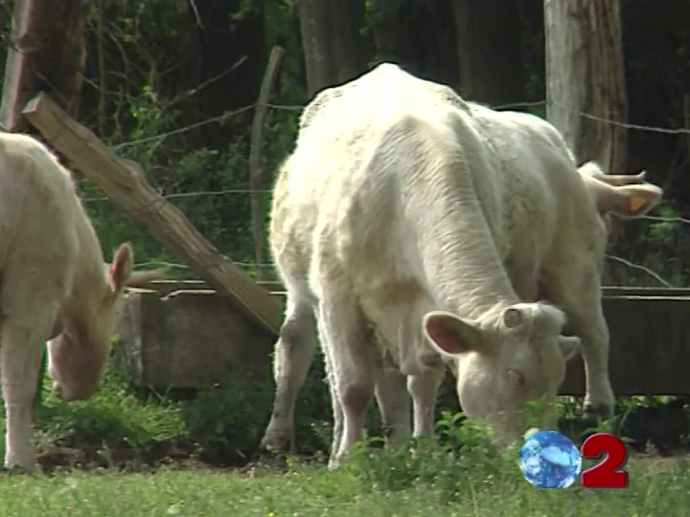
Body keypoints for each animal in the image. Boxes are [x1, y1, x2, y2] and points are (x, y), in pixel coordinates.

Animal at [260, 63, 663, 467]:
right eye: (515, 375)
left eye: (555, 381)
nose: (546, 451)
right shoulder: (337, 296)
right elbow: (353, 386)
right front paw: (346, 460)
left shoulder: (424, 303)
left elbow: (423, 377)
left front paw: (422, 449)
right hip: (304, 290)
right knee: (297, 346)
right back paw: (284, 437)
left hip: (572, 263)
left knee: (595, 332)